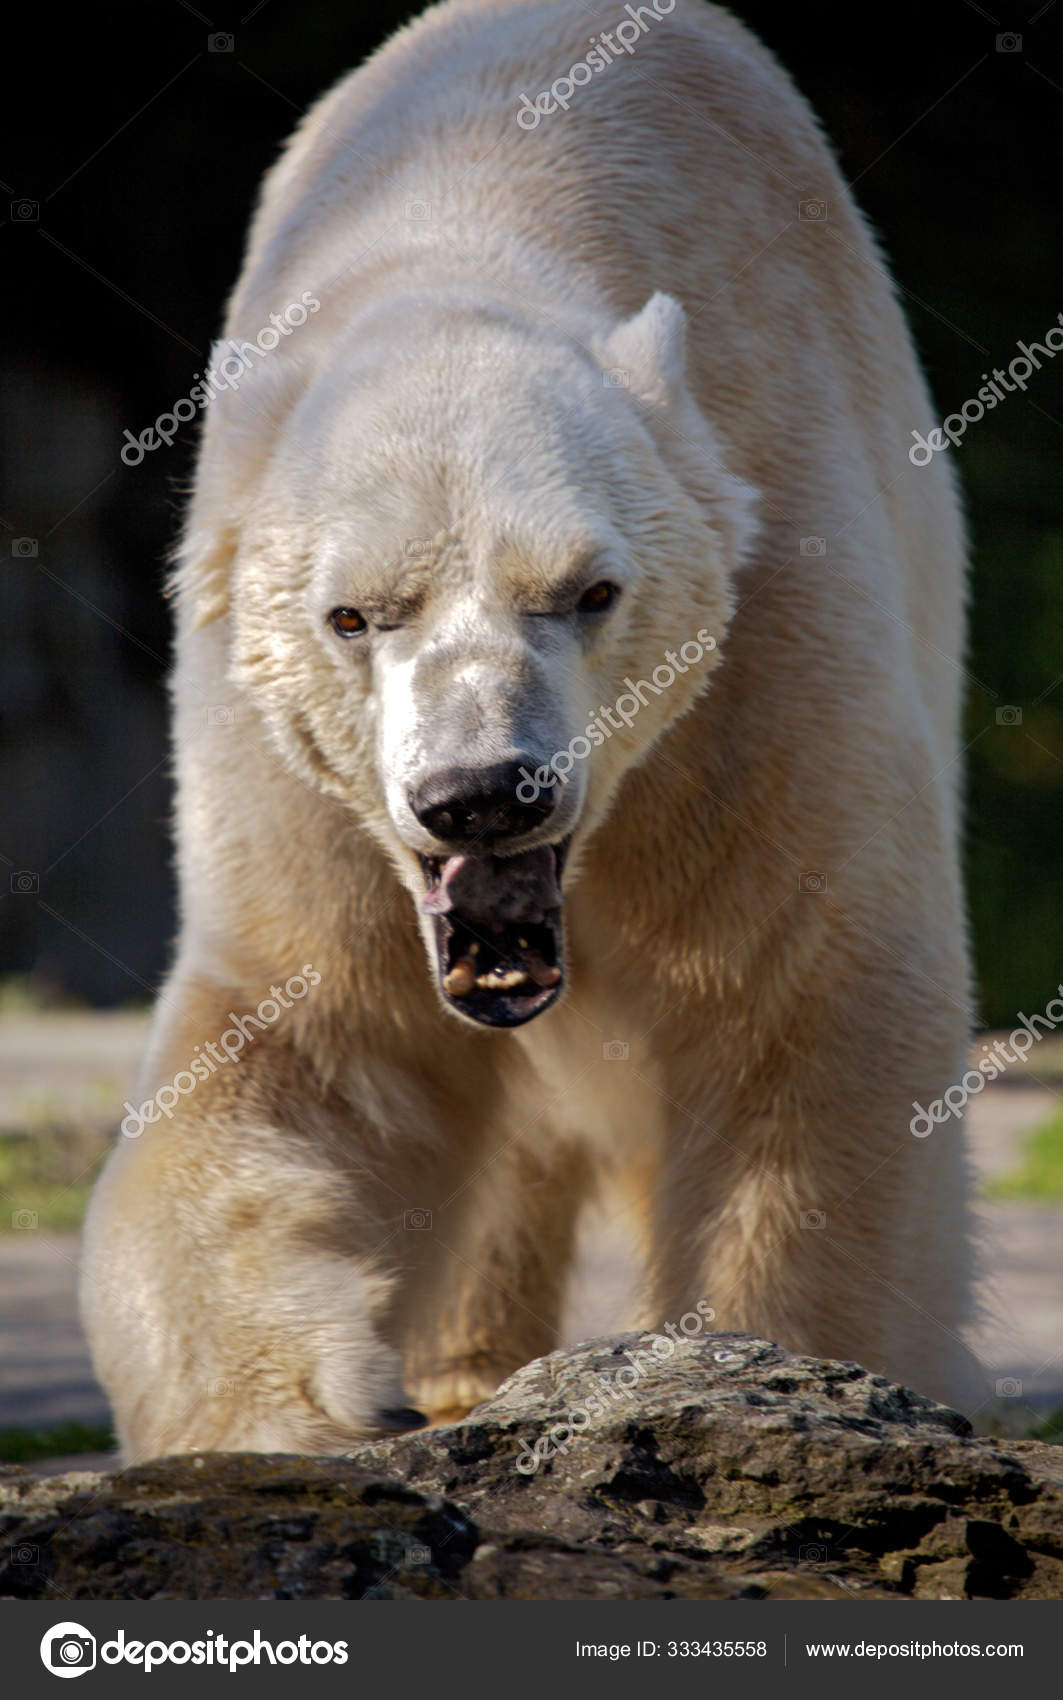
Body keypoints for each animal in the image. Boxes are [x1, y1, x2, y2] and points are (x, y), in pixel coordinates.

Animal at [81, 0, 981, 1462]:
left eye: (589, 592)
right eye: (352, 615)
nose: (481, 793)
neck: (485, 200)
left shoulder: (763, 631)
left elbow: (802, 1005)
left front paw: (784, 1383)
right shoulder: (287, 769)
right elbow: (301, 1048)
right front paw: (301, 1407)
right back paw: (461, 1377)